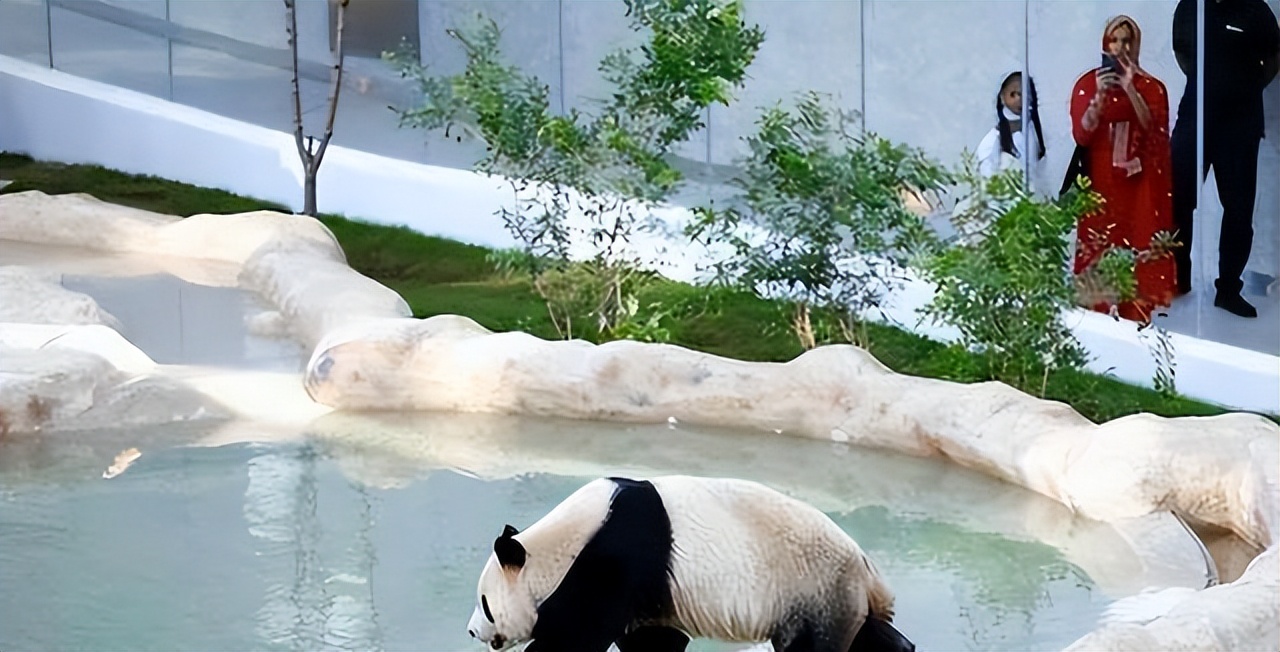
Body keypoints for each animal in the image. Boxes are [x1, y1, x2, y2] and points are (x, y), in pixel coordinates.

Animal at [466, 475, 915, 652]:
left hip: (813, 589)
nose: (471, 631)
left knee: (813, 647)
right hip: (837, 598)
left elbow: (574, 635)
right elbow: (654, 639)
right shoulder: (649, 592)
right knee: (872, 636)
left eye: (486, 604)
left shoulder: (613, 558)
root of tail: (868, 570)